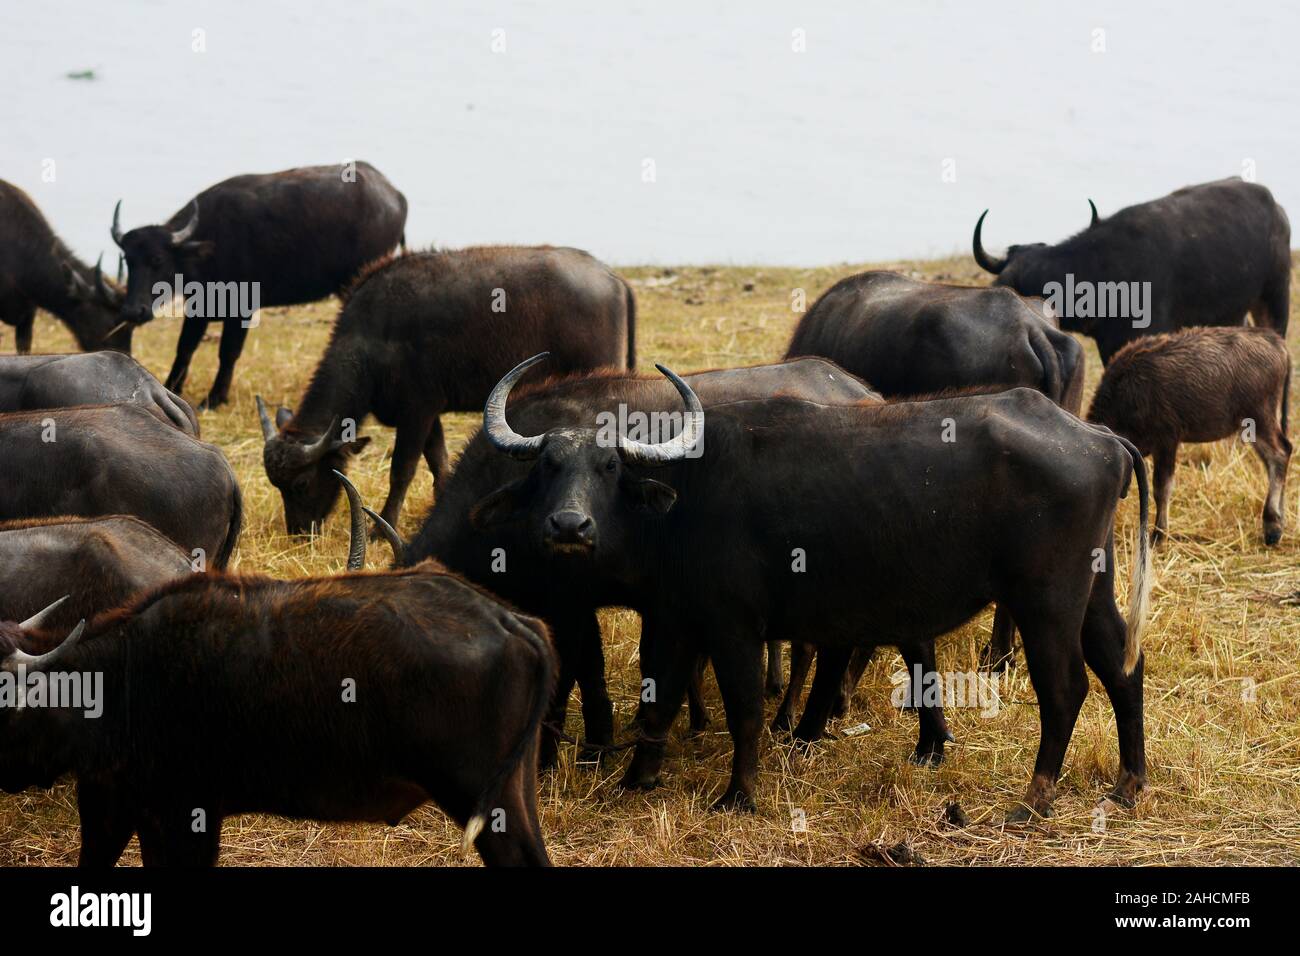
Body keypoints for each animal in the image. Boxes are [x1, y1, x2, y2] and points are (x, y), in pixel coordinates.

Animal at [0, 483, 554, 867]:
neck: (124, 672)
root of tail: (510, 620)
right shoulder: (123, 806)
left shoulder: (180, 812)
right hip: (514, 796)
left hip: (483, 802)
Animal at [111, 162, 408, 409]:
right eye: (128, 260)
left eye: (157, 259)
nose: (132, 311)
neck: (211, 242)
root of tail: (395, 195)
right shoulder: (199, 307)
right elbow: (185, 348)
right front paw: (172, 387)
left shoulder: (241, 308)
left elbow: (228, 352)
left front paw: (215, 398)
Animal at [258, 245, 636, 535]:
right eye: (277, 485)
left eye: (301, 483)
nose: (298, 532)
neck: (372, 340)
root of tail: (612, 277)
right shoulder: (431, 414)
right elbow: (437, 460)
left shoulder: (416, 411)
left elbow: (402, 470)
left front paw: (383, 527)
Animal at [471, 356, 1152, 818]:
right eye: (547, 467)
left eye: (610, 466)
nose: (569, 526)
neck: (683, 502)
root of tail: (1099, 437)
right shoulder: (678, 619)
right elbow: (657, 699)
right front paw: (635, 779)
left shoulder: (733, 625)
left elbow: (745, 708)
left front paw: (738, 795)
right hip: (1095, 589)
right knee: (1122, 667)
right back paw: (1128, 782)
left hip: (1047, 599)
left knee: (1066, 688)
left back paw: (1034, 799)